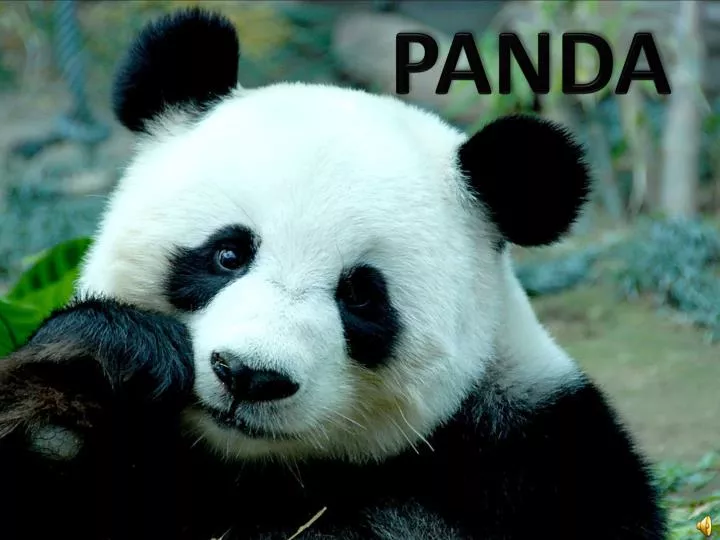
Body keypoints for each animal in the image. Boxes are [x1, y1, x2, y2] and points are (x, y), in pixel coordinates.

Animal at [0, 8, 666, 540]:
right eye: (227, 255)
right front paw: (94, 372)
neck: (258, 470)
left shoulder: (537, 458)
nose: (250, 376)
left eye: (361, 297)